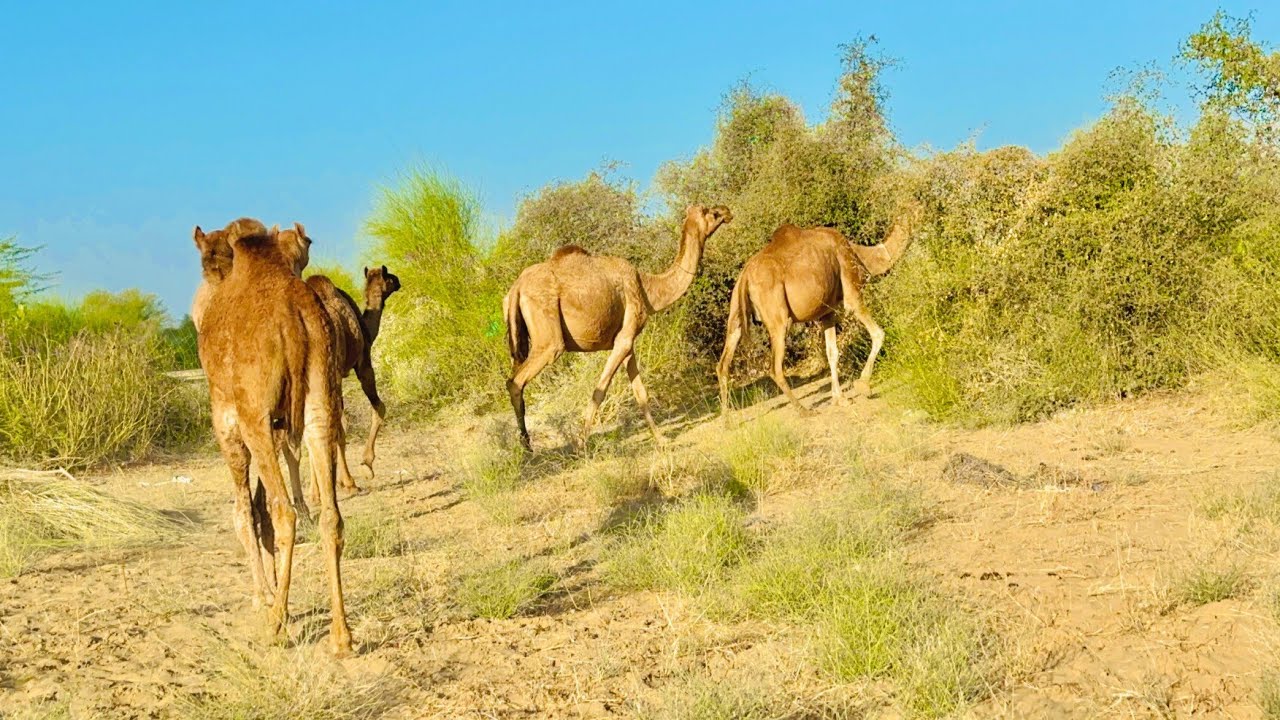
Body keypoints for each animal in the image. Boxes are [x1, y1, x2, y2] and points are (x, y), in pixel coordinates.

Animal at [197, 222, 352, 656]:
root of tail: (293, 317)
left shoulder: (228, 421)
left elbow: (245, 513)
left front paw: (261, 596)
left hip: (255, 418)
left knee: (285, 513)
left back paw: (276, 623)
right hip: (320, 398)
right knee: (329, 515)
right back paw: (341, 636)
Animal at [300, 264, 401, 503]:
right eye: (389, 277)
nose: (399, 281)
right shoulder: (362, 363)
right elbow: (378, 408)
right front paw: (366, 466)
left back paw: (315, 492)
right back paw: (348, 482)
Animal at [504, 204, 732, 450]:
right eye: (711, 212)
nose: (727, 211)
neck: (648, 290)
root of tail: (516, 288)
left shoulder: (627, 342)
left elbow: (640, 392)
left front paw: (661, 440)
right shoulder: (625, 337)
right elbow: (599, 391)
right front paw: (581, 445)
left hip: (519, 340)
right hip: (549, 339)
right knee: (515, 382)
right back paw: (528, 448)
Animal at [716, 206, 919, 415]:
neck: (861, 255)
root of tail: (745, 276)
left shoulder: (826, 312)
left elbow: (832, 352)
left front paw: (840, 399)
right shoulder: (851, 289)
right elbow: (878, 333)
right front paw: (863, 385)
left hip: (735, 312)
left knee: (723, 363)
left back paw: (727, 417)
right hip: (778, 318)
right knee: (775, 368)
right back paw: (804, 411)